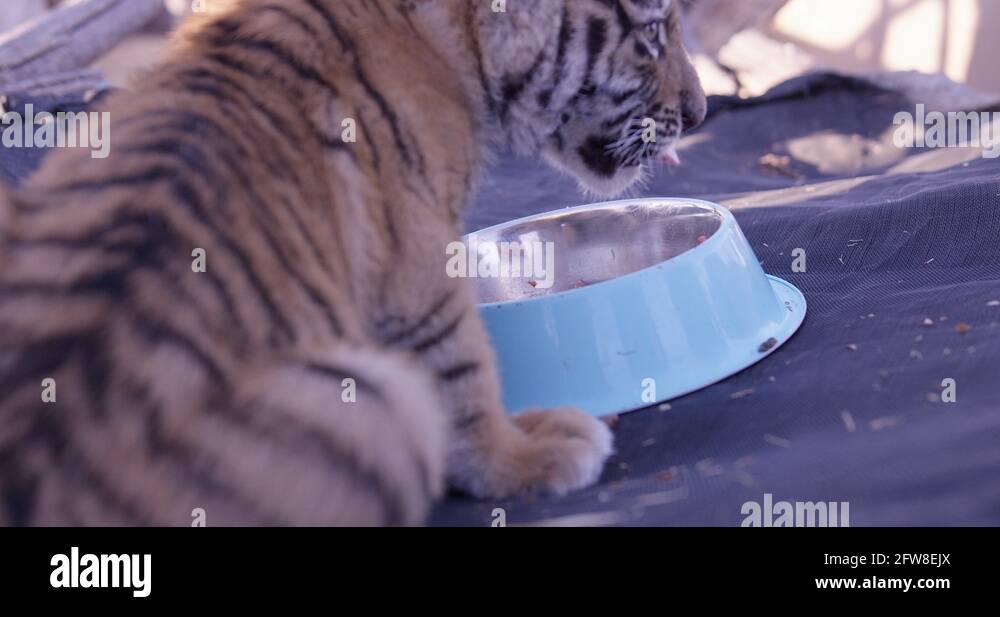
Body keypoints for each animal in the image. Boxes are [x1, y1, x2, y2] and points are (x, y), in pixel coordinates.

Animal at [0, 0, 706, 525]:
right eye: (651, 33)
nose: (700, 113)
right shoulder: (415, 258)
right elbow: (462, 371)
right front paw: (524, 455)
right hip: (375, 399)